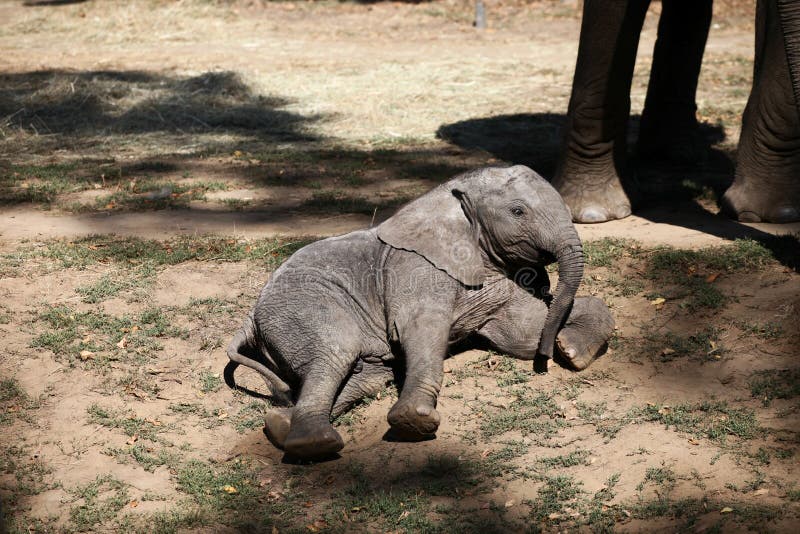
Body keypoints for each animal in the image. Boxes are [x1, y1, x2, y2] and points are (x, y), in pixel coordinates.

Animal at [226, 165, 614, 459]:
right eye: (518, 211)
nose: (547, 360)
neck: (450, 198)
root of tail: (250, 318)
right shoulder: (414, 269)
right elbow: (421, 330)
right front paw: (415, 422)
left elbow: (523, 333)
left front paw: (573, 351)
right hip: (301, 306)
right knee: (334, 354)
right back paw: (313, 443)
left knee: (367, 375)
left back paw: (279, 426)